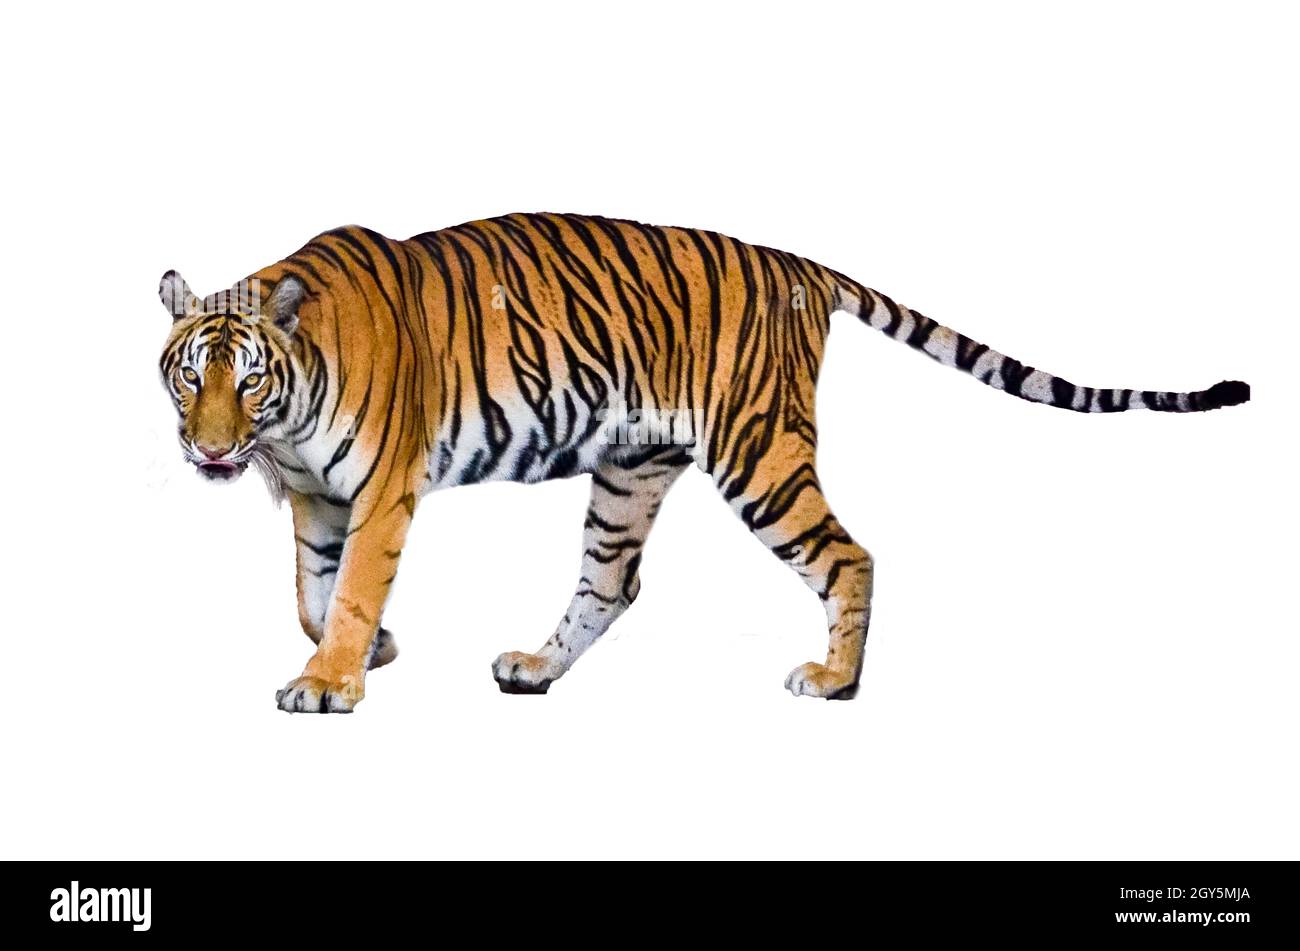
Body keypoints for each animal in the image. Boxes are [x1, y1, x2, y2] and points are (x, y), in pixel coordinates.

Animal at [156, 213, 1250, 712]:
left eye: (247, 380)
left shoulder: (382, 489)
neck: (286, 423)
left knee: (850, 556)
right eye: (189, 377)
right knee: (611, 583)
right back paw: (534, 669)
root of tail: (797, 262)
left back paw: (835, 679)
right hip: (630, 470)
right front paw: (364, 652)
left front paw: (333, 680)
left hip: (762, 456)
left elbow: (346, 590)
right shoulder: (315, 497)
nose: (207, 447)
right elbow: (313, 593)